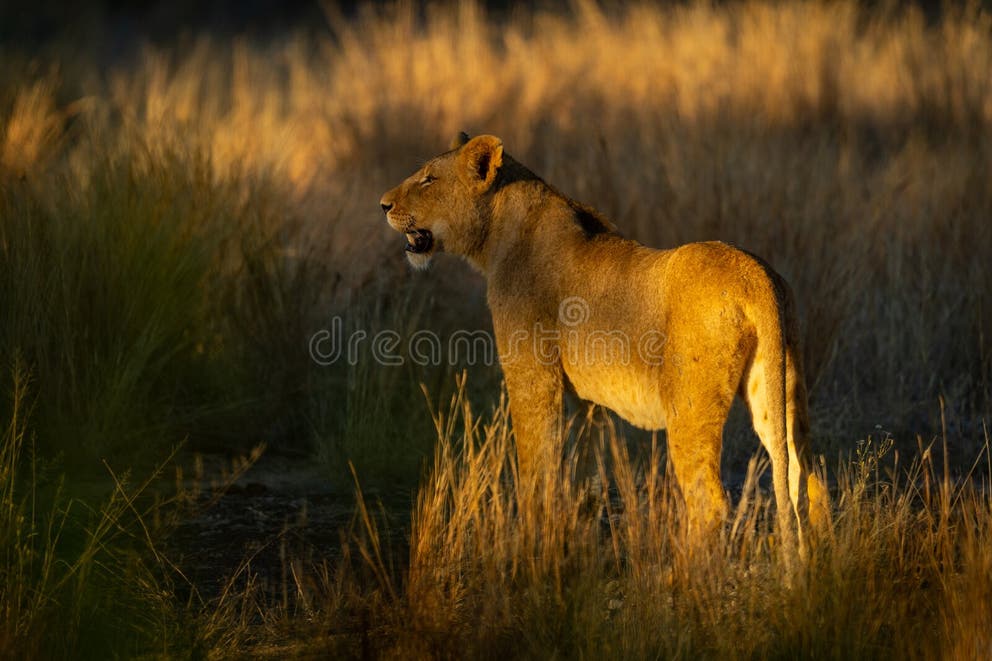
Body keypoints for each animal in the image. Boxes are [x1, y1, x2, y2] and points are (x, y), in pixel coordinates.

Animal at [380, 133, 831, 562]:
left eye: (428, 179)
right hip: (778, 389)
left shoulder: (533, 378)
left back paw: (682, 580)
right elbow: (580, 473)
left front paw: (530, 545)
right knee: (808, 479)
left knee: (709, 502)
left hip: (689, 407)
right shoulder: (584, 399)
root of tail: (755, 275)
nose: (383, 204)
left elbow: (535, 467)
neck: (497, 235)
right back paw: (813, 571)